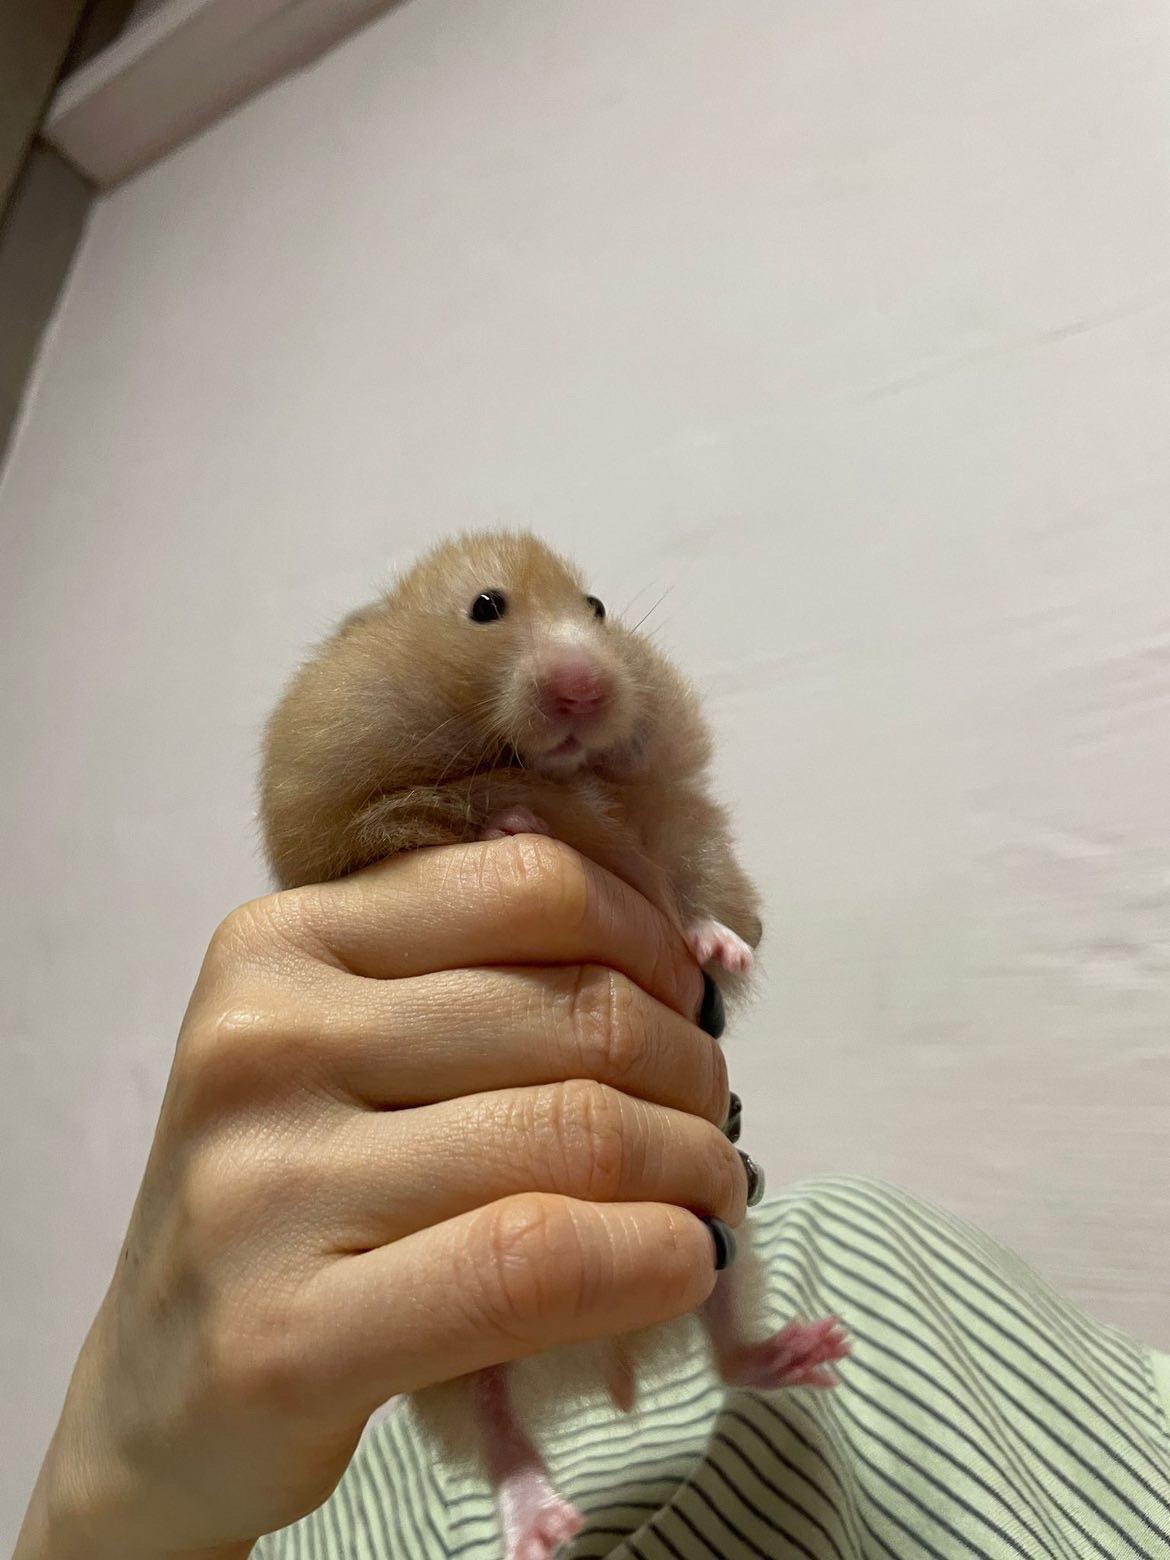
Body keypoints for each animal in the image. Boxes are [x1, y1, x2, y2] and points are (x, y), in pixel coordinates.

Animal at [260, 532, 848, 1559]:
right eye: (486, 608)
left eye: (598, 607)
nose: (583, 686)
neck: (552, 765)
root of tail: (603, 1368)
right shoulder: (333, 823)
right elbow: (422, 822)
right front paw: (516, 825)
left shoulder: (681, 821)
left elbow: (697, 900)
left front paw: (718, 949)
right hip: (453, 1350)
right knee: (496, 1425)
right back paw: (540, 1523)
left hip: (721, 1239)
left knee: (727, 1347)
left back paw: (812, 1353)